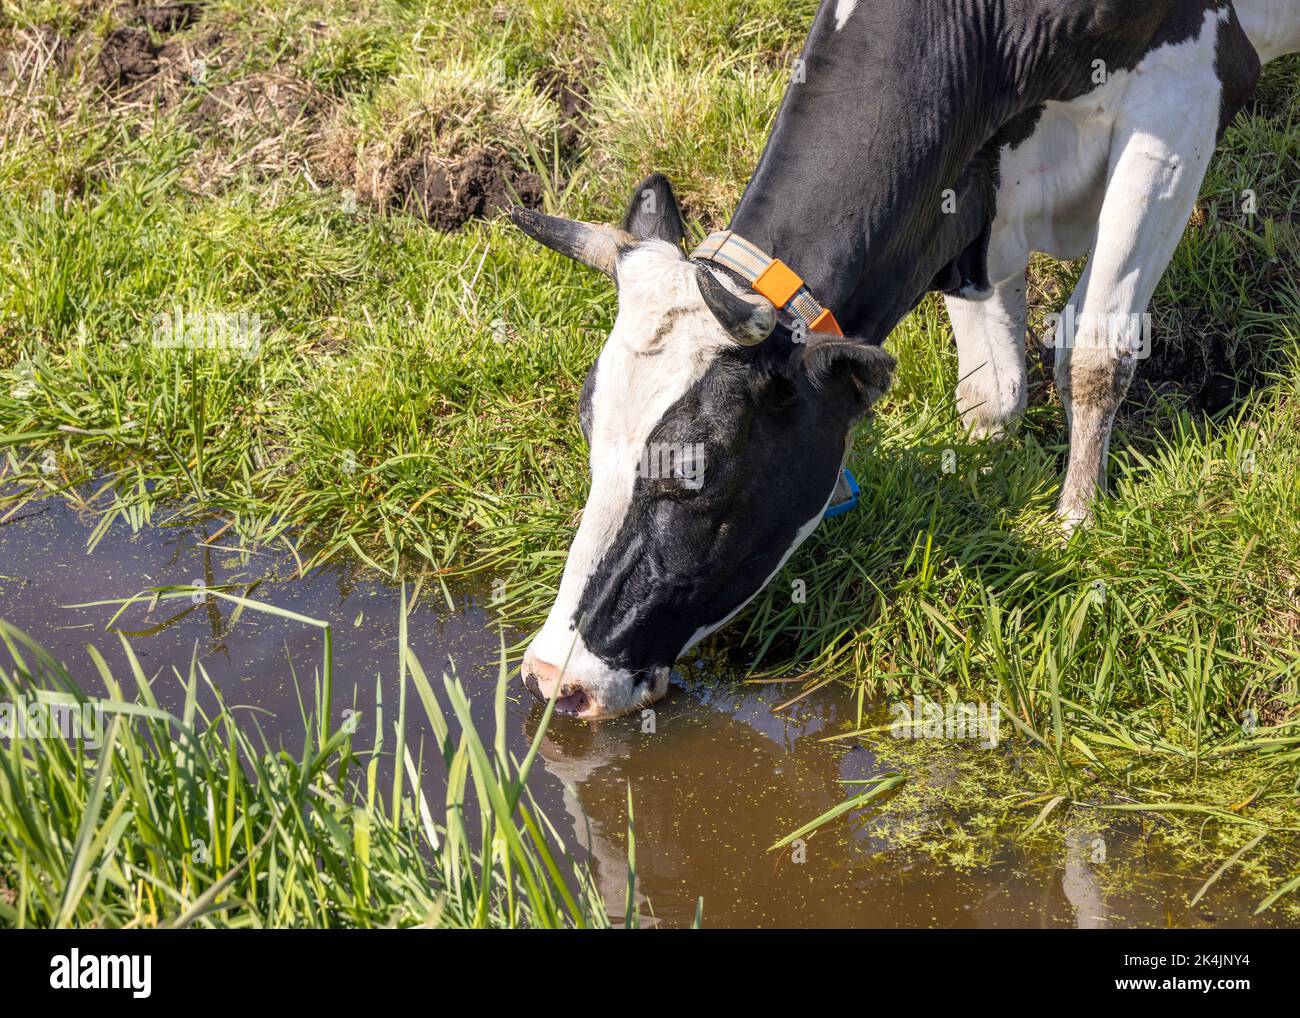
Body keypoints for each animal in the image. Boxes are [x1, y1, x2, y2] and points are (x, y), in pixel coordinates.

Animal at [511, 0, 1300, 719]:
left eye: (696, 473)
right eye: (589, 439)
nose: (556, 678)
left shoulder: (1186, 84)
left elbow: (1096, 353)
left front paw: (1077, 526)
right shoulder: (971, 192)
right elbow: (993, 392)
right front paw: (985, 483)